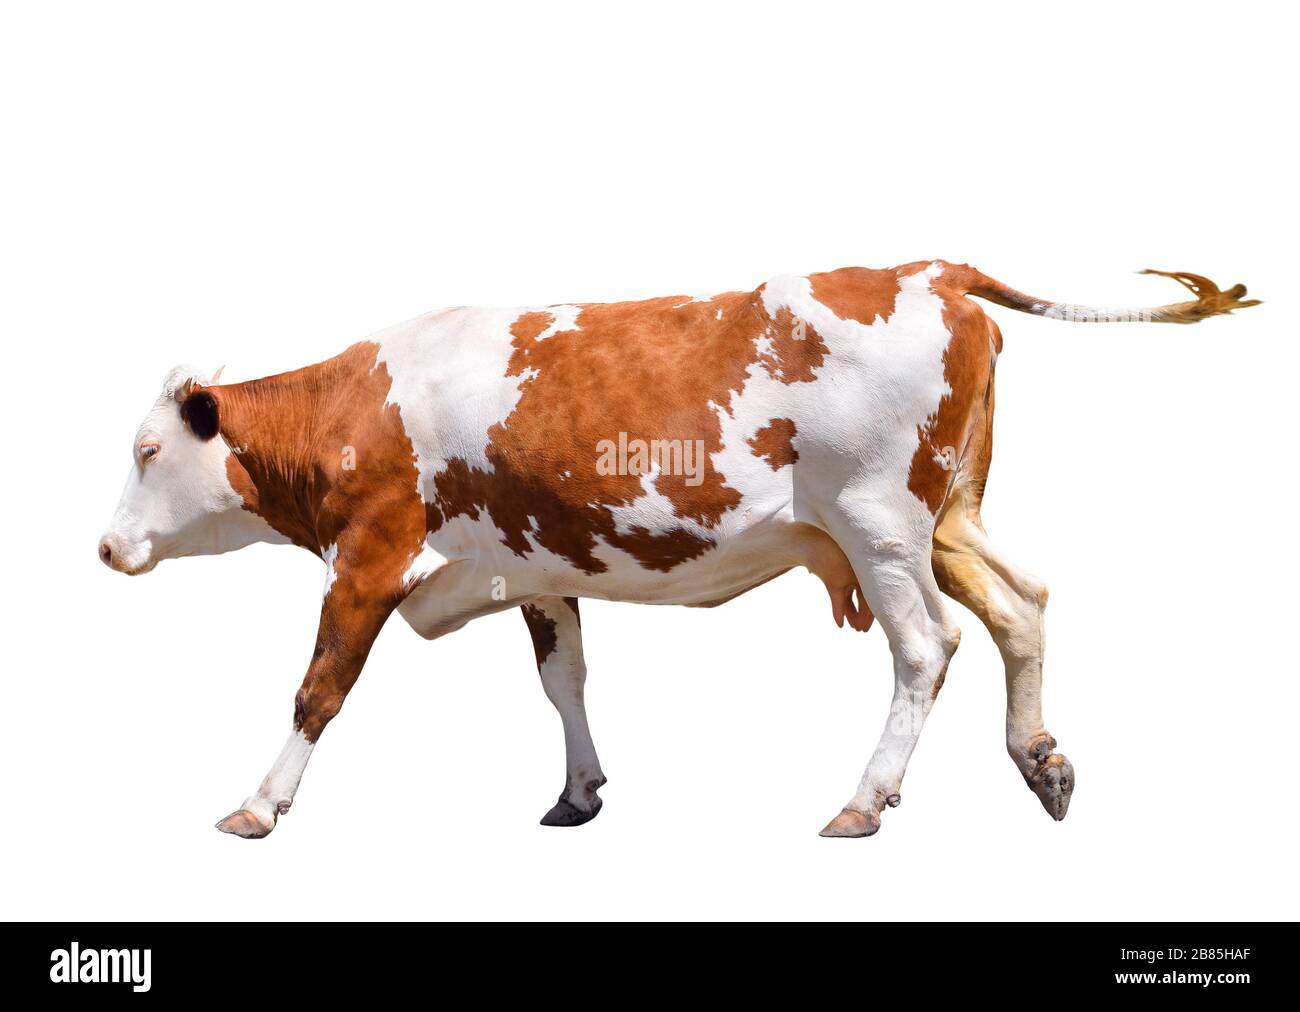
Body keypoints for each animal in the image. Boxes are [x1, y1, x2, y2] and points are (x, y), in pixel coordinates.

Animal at [99, 262, 1258, 839]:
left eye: (147, 450)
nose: (107, 547)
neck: (357, 404)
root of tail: (927, 268)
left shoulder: (371, 552)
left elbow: (321, 686)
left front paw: (259, 804)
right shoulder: (536, 562)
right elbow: (562, 675)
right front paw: (578, 792)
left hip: (878, 523)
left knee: (927, 649)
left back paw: (863, 800)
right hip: (946, 518)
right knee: (1023, 604)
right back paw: (1040, 760)